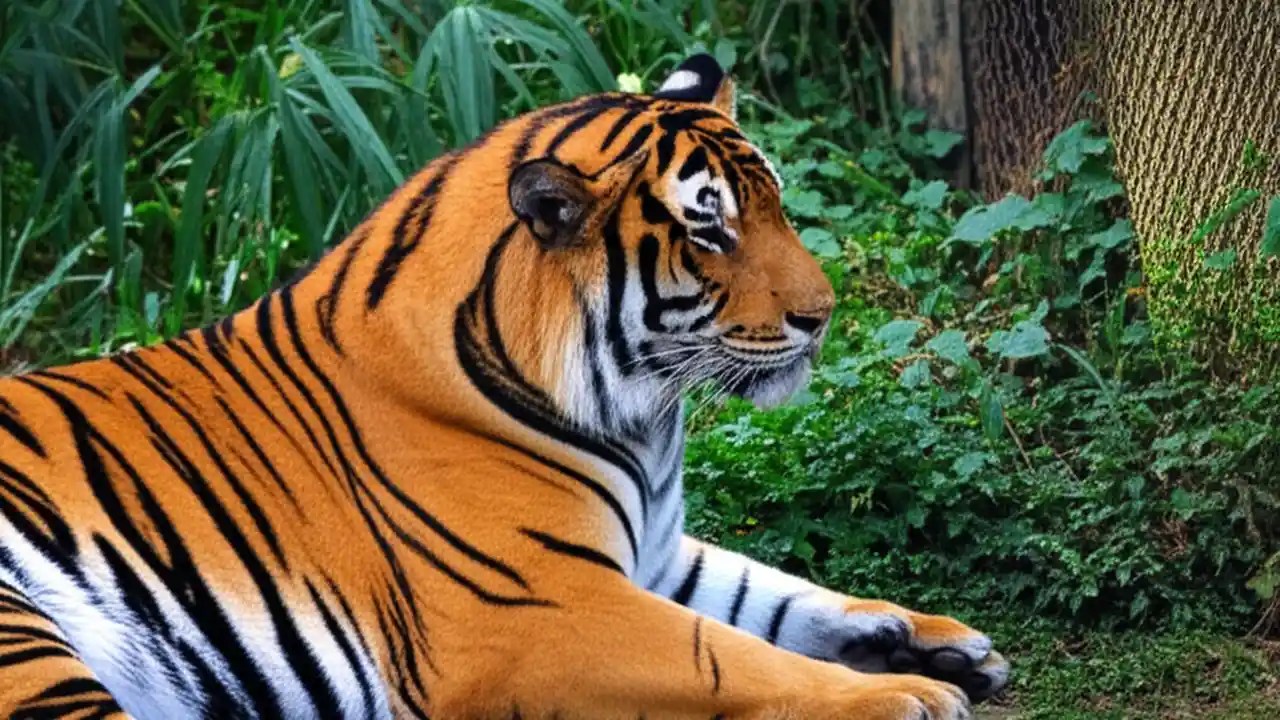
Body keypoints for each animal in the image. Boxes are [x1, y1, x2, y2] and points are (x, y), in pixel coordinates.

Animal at [0, 54, 1008, 719]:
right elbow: (726, 653)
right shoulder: (533, 608)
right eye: (709, 229)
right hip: (29, 643)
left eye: (777, 206)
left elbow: (770, 593)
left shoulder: (652, 553)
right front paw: (906, 694)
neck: (643, 418)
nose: (823, 315)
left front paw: (929, 640)